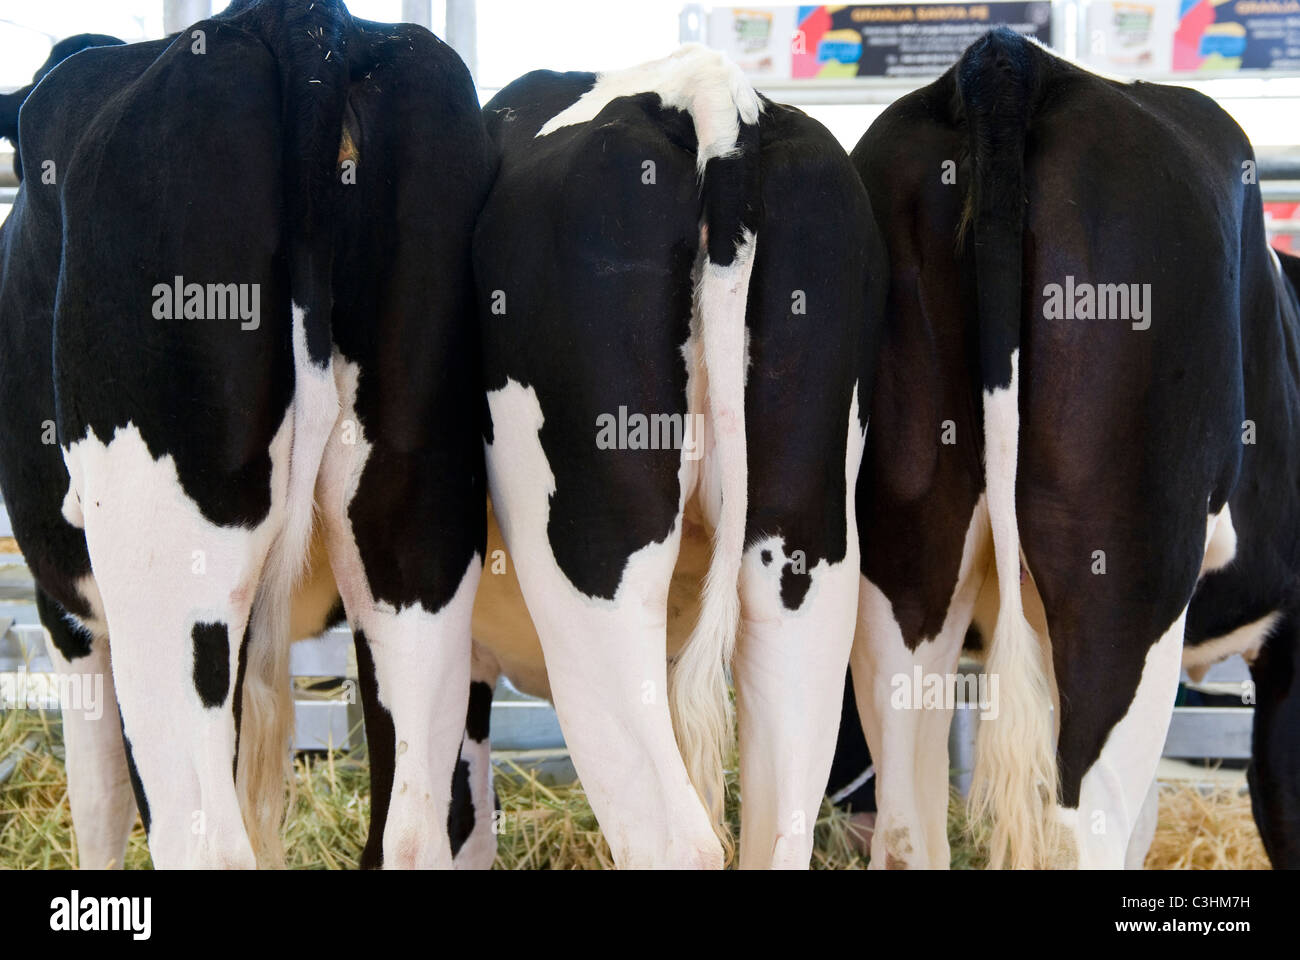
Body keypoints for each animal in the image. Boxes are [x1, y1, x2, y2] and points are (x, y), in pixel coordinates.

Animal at [0, 0, 494, 868]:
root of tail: (299, 22)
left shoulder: (68, 613)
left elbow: (96, 797)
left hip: (164, 578)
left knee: (203, 836)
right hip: (418, 543)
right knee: (411, 827)